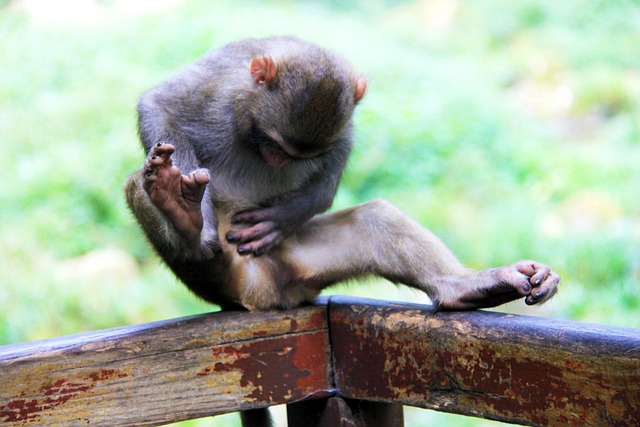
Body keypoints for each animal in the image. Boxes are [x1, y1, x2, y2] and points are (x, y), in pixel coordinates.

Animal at [125, 35, 560, 314]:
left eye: (294, 153)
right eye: (272, 143)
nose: (279, 162)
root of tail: (262, 294)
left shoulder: (340, 124)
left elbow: (337, 159)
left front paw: (286, 216)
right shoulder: (218, 89)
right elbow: (158, 104)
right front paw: (193, 208)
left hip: (298, 265)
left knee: (376, 219)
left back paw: (466, 288)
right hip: (213, 273)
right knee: (140, 187)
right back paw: (185, 219)